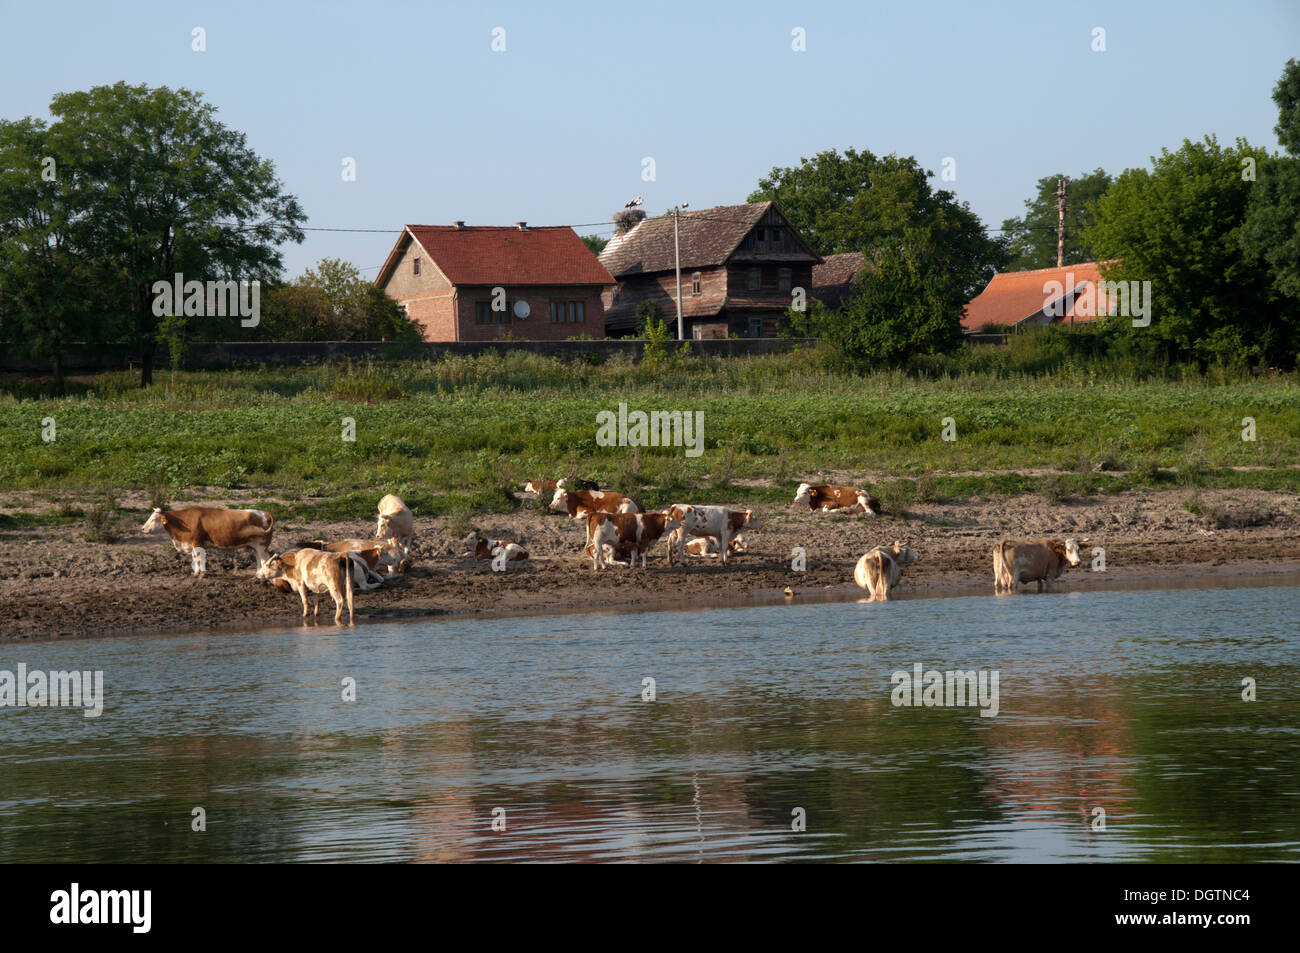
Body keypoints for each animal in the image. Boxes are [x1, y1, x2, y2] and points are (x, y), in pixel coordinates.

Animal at [141, 506, 275, 575]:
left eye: (154, 519)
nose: (142, 528)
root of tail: (264, 512)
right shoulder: (194, 545)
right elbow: (195, 558)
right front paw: (197, 573)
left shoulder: (197, 544)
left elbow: (198, 559)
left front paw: (199, 574)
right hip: (256, 547)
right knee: (259, 559)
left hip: (262, 546)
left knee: (264, 560)